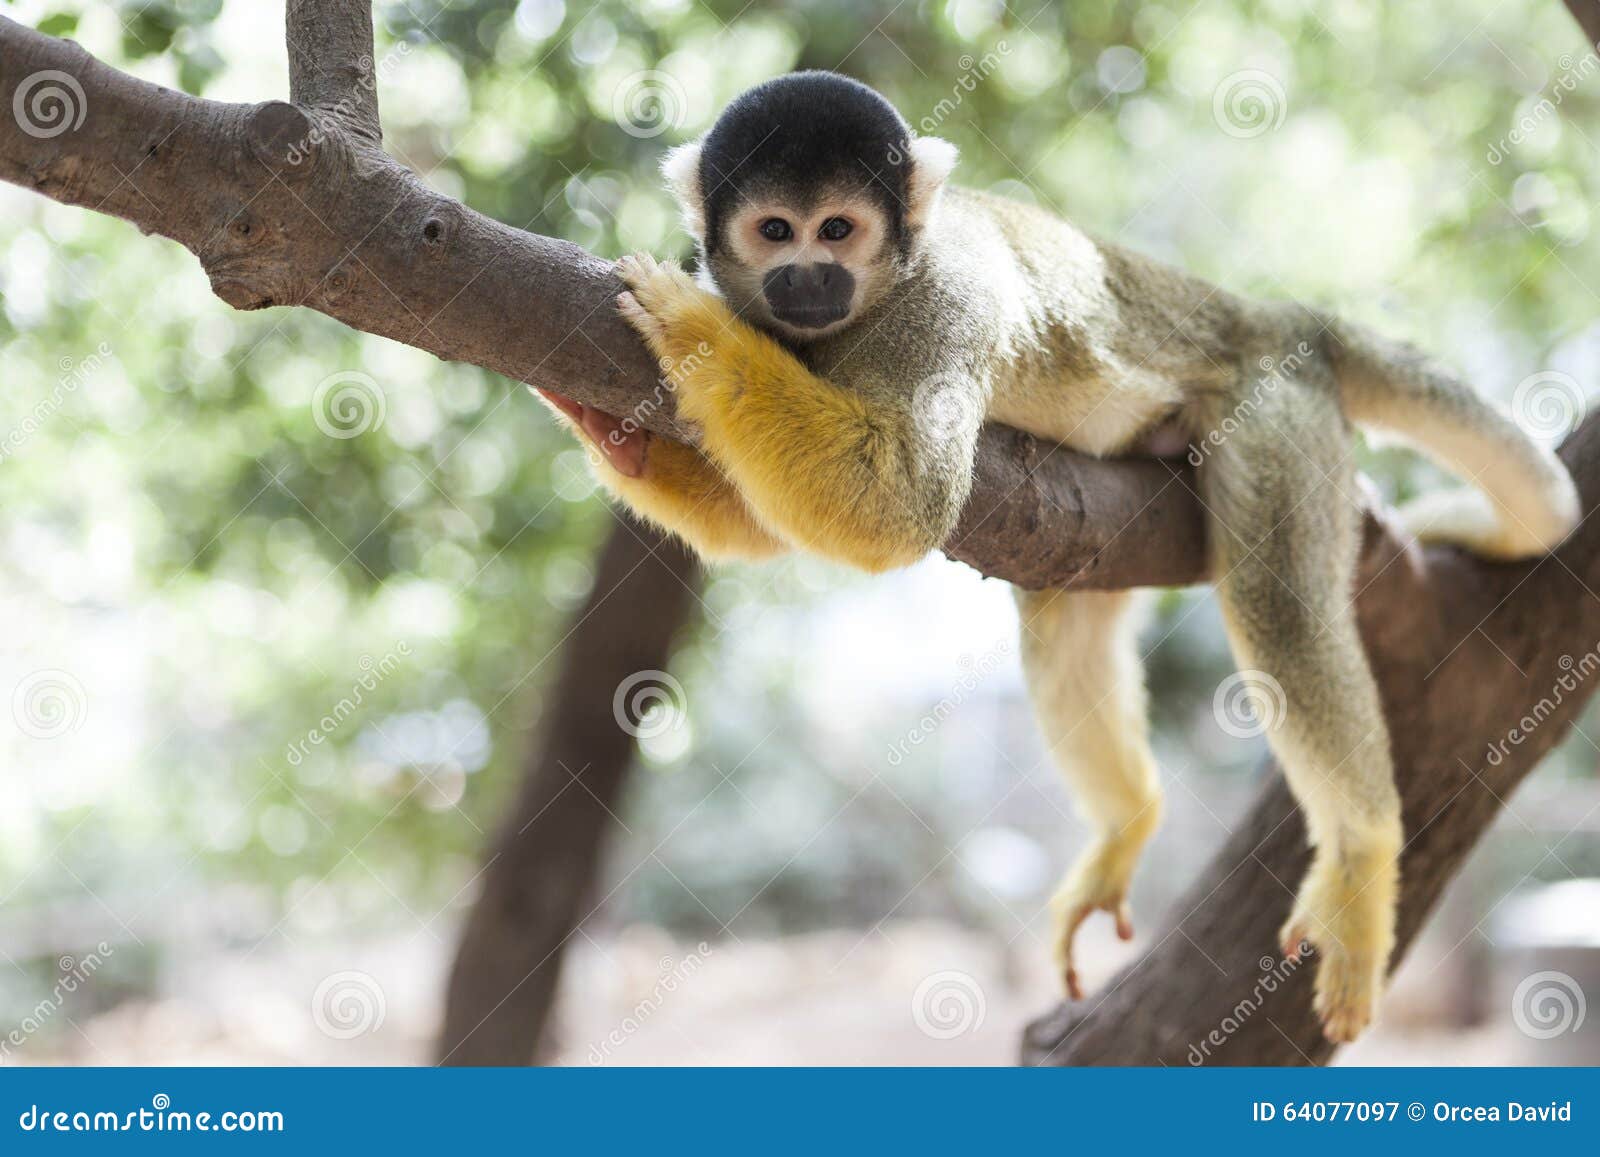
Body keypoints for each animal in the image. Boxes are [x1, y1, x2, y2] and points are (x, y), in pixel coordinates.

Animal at [536, 71, 1580, 1043]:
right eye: (774, 231)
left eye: (836, 229)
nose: (805, 280)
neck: (862, 311)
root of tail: (1265, 314)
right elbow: (768, 521)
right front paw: (609, 431)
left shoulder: (944, 301)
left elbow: (896, 504)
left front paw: (693, 331)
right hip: (1118, 500)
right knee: (1064, 597)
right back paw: (1128, 817)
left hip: (1273, 408)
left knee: (1281, 601)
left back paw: (1362, 851)